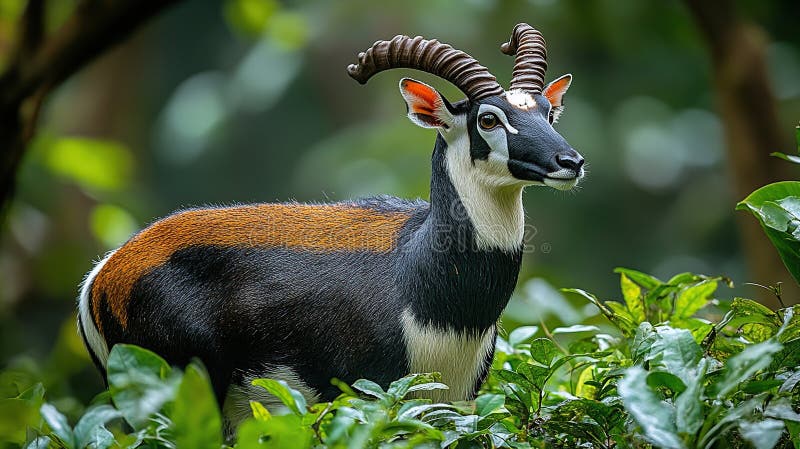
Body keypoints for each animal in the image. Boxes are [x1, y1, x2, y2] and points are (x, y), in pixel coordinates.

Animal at [77, 23, 584, 428]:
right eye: (489, 118)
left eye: (547, 111)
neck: (418, 274)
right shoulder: (370, 395)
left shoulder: (454, 400)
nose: (570, 162)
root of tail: (101, 275)